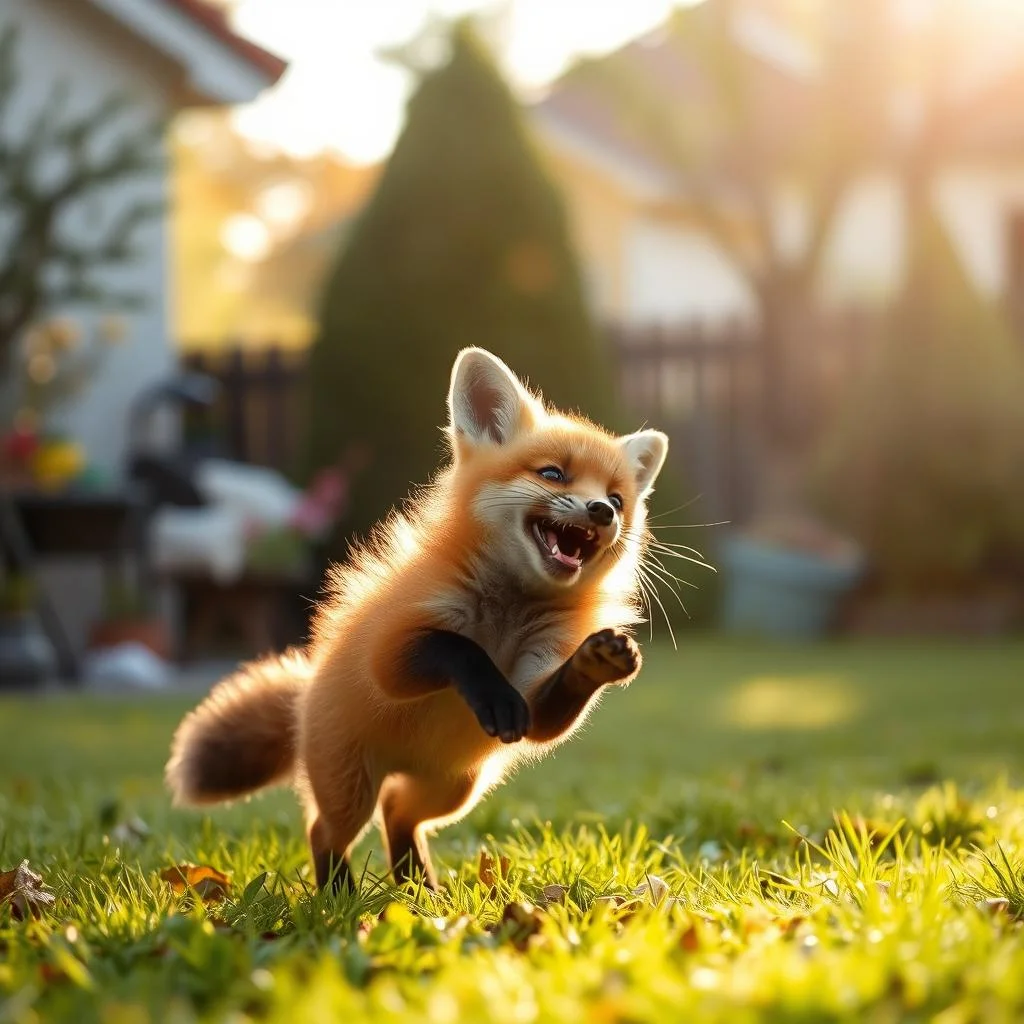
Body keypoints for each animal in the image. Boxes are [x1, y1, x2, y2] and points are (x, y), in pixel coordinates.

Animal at [166, 347, 669, 893]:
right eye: (553, 474)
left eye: (618, 499)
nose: (601, 511)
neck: (507, 616)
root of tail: (305, 695)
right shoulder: (388, 655)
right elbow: (457, 647)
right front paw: (491, 693)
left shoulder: (539, 678)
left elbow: (545, 716)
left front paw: (598, 661)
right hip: (350, 790)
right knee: (325, 830)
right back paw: (340, 897)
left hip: (452, 789)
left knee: (399, 814)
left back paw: (417, 889)